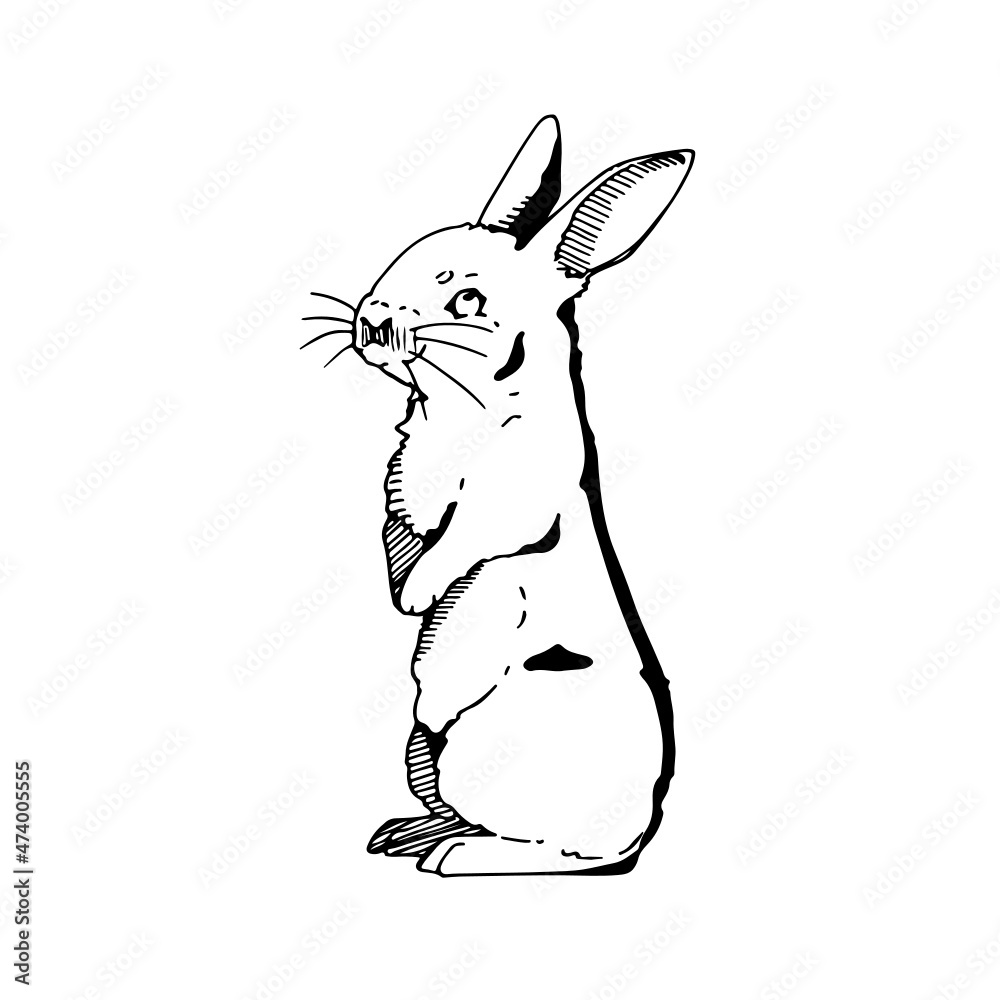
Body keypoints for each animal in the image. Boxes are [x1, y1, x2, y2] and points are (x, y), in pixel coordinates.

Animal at [308, 116, 693, 875]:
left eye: (468, 302)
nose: (371, 320)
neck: (462, 409)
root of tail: (640, 826)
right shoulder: (405, 492)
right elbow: (403, 530)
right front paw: (405, 590)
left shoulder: (512, 503)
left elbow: (467, 539)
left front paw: (420, 595)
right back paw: (409, 833)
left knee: (556, 852)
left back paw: (451, 855)